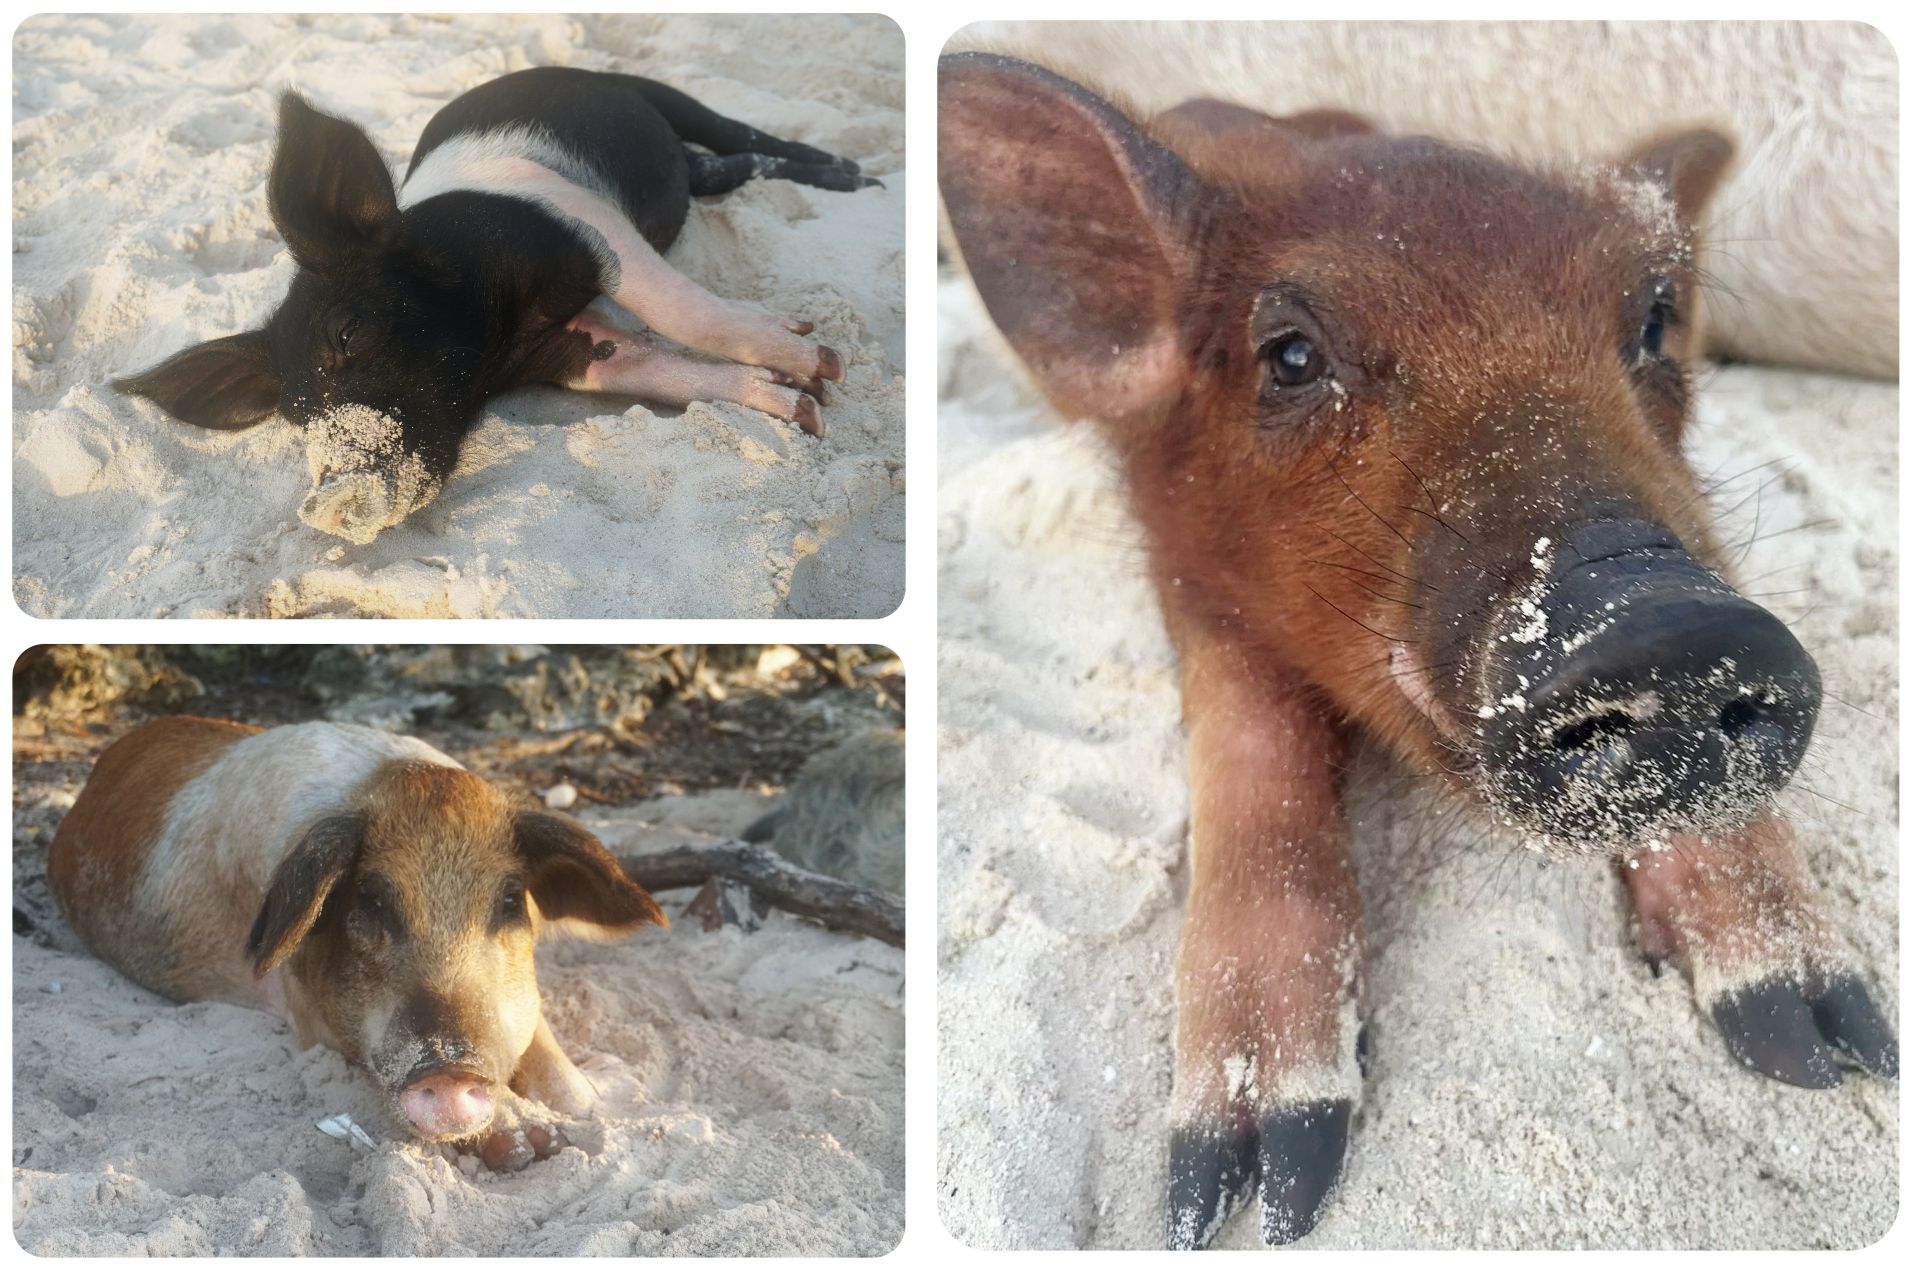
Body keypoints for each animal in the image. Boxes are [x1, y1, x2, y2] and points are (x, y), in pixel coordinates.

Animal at [46, 716, 666, 1143]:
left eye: (511, 900)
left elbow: (556, 1066)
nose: (450, 1066)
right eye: (371, 899)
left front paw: (598, 1108)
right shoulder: (308, 1016)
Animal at [116, 67, 878, 544]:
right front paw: (803, 404)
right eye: (296, 417)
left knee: (743, 135)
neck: (497, 338)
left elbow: (681, 311)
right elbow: (657, 368)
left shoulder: (588, 230)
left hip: (655, 93)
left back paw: (859, 178)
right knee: (727, 169)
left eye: (350, 331)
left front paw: (822, 360)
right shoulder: (572, 348)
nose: (324, 504)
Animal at [937, 53, 1897, 1248]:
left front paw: (1834, 1045)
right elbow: (1253, 734)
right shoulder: (1181, 563)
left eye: (1654, 319)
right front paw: (1255, 1194)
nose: (1662, 631)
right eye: (1292, 355)